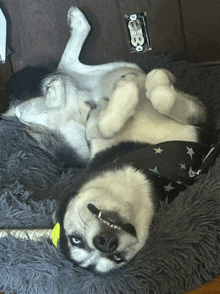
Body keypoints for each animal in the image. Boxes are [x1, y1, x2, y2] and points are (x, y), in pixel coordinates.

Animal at [3, 6, 207, 274]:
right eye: (75, 240)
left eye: (117, 258)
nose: (104, 243)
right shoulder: (94, 131)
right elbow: (108, 123)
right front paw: (128, 94)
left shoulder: (196, 117)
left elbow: (163, 97)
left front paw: (157, 81)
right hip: (74, 136)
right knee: (28, 108)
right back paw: (57, 90)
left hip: (113, 69)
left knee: (65, 69)